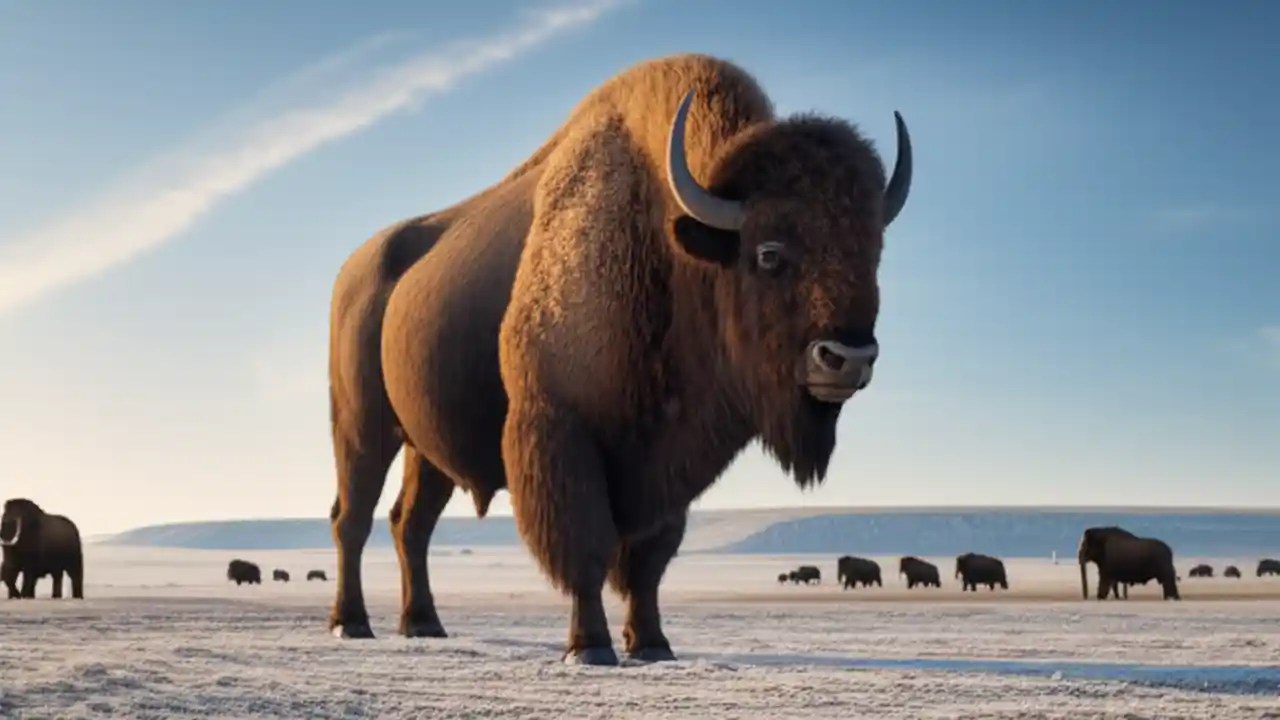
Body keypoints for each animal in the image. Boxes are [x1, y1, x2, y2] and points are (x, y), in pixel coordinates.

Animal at [323, 53, 912, 665]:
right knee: (353, 518)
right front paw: (590, 647)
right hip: (362, 428)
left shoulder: (669, 467)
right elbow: (588, 548)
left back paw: (424, 624)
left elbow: (648, 561)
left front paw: (653, 644)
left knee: (409, 524)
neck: (670, 242)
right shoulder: (562, 434)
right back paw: (352, 623)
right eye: (769, 252)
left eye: (872, 251)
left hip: (427, 449)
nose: (848, 357)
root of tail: (355, 267)